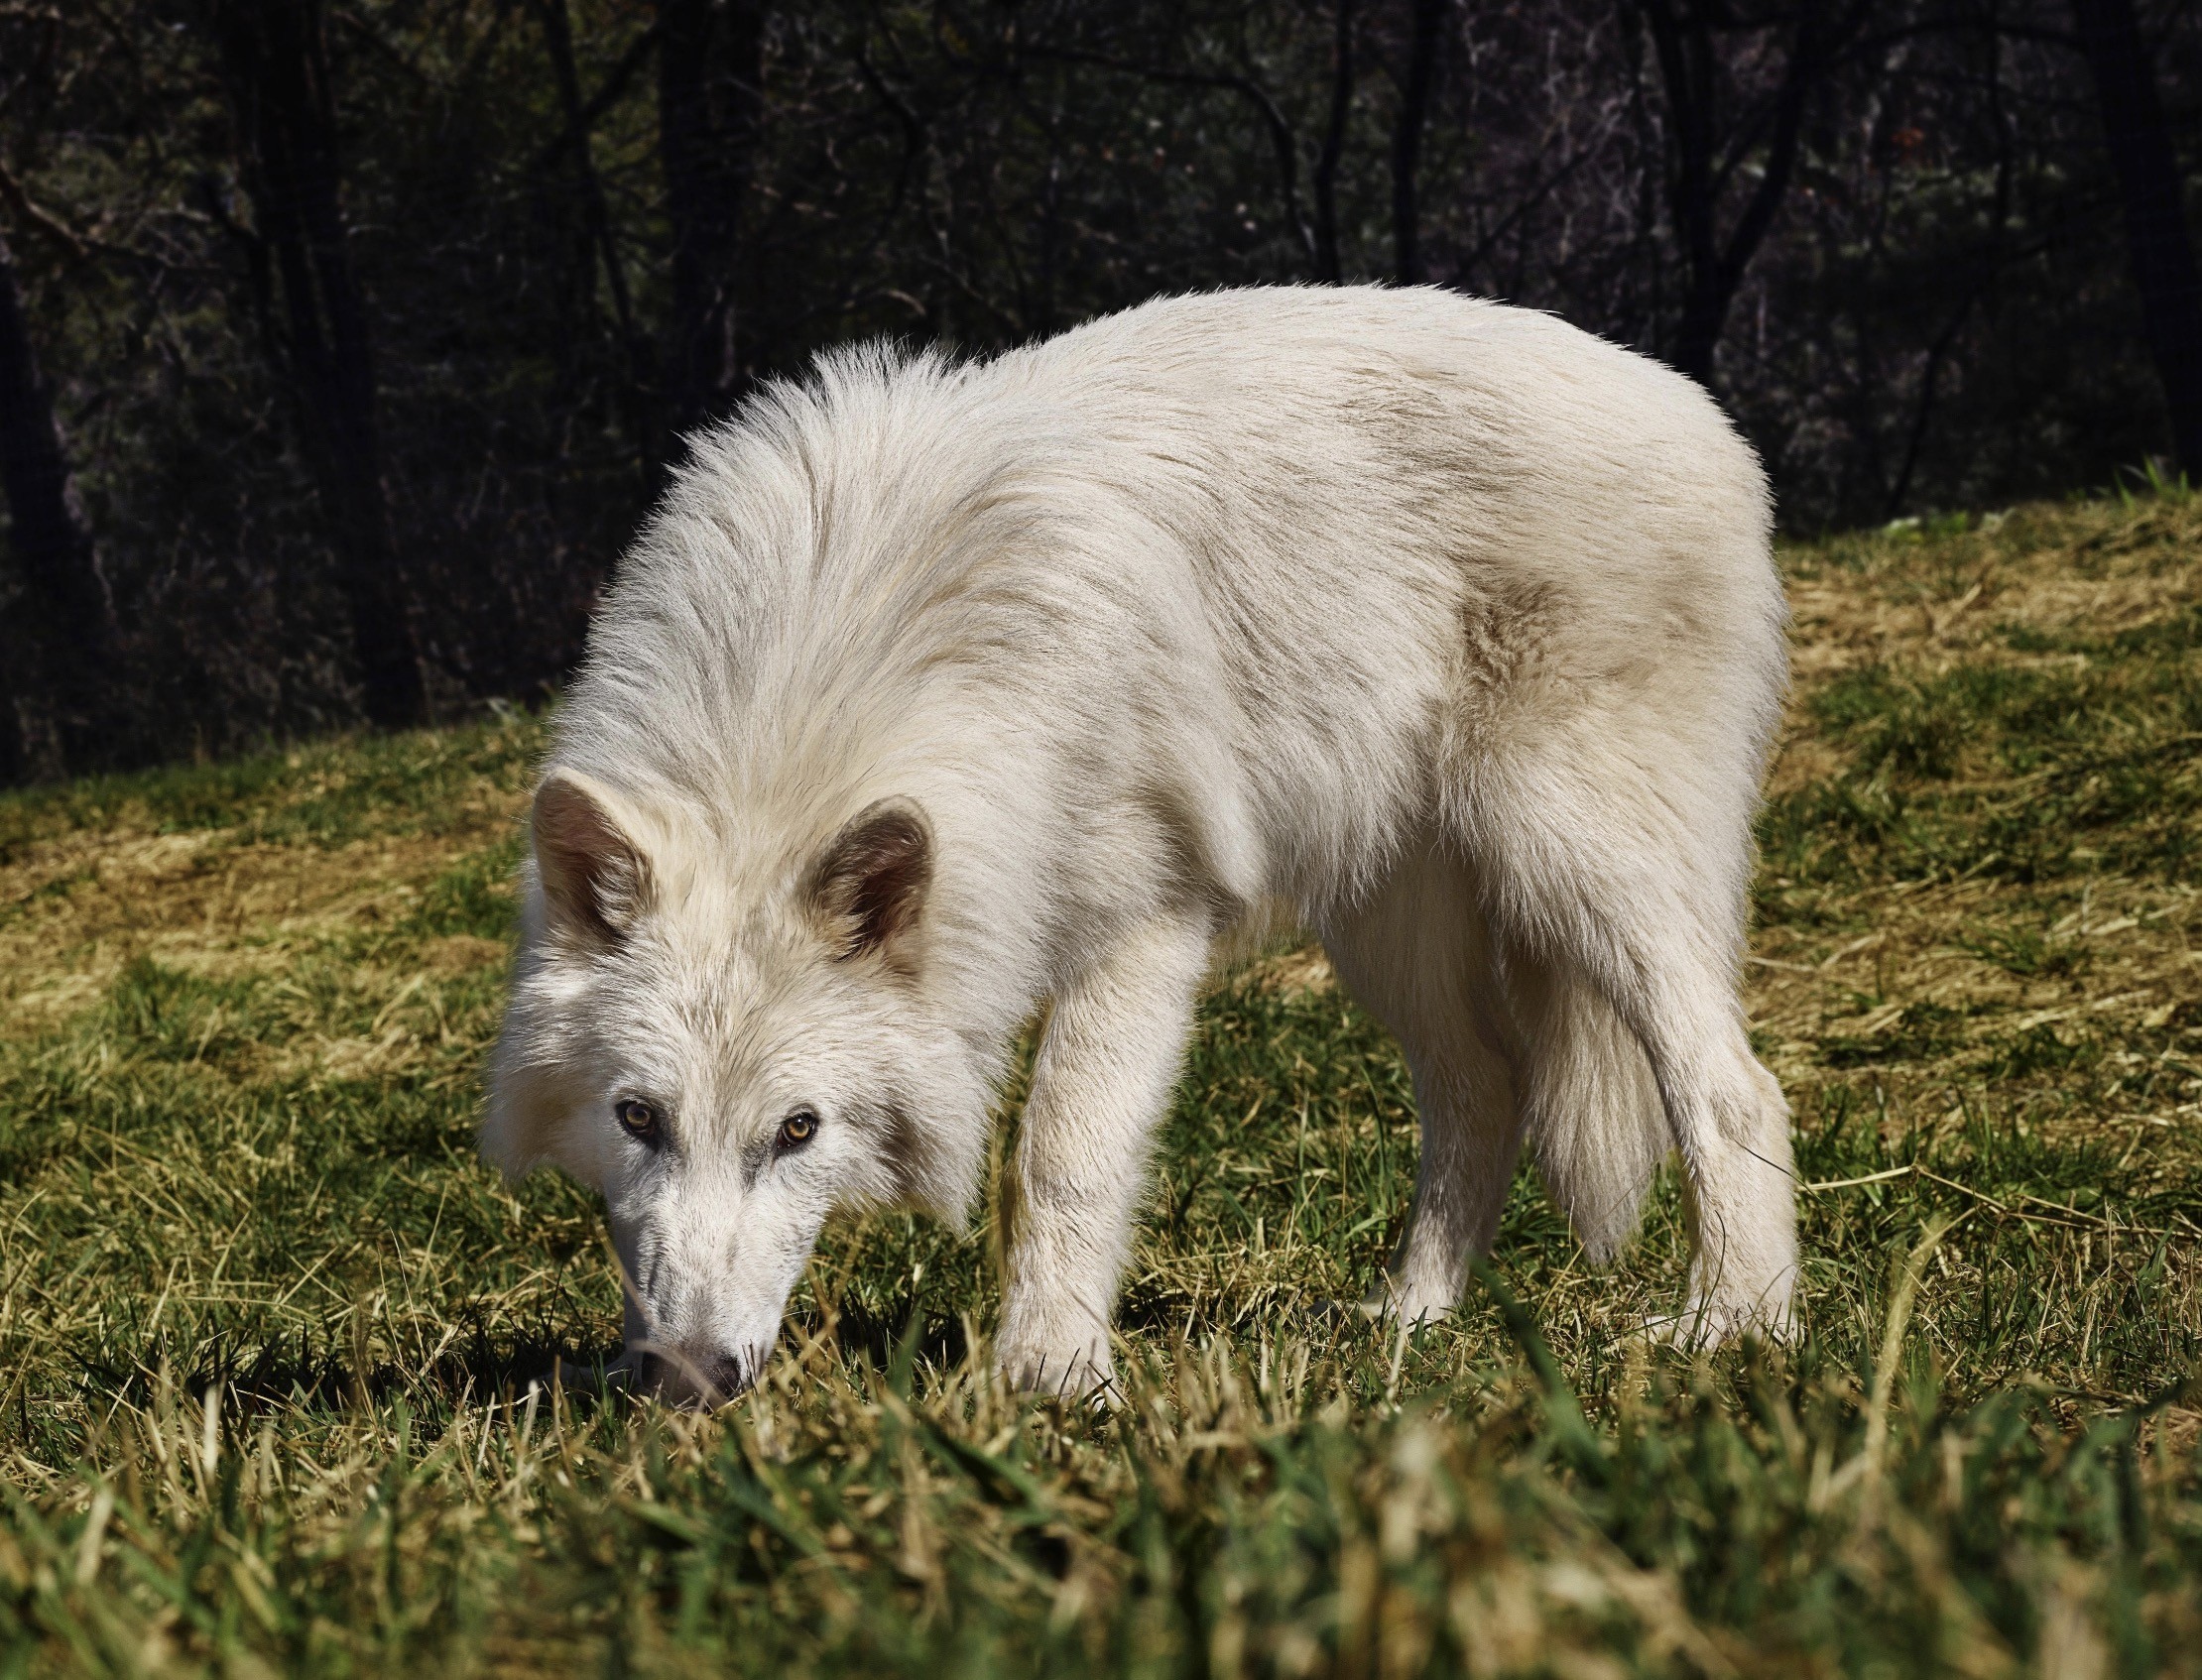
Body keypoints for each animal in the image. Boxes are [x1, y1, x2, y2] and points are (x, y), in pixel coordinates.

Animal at [484, 285, 1796, 1405]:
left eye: (798, 1129)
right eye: (638, 1117)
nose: (685, 1380)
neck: (836, 668)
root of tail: (1700, 410)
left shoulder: (1147, 924)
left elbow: (1063, 1154)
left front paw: (1052, 1376)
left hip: (1574, 865)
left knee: (1733, 1085)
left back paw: (1736, 1323)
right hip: (1390, 928)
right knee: (1487, 1088)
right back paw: (1412, 1320)